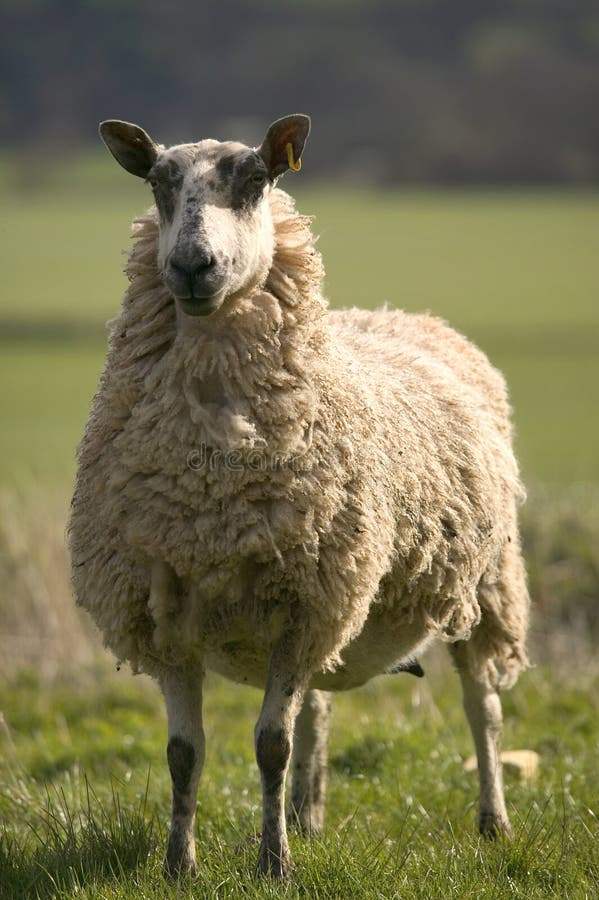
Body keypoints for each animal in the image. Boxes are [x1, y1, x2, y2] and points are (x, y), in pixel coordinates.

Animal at [69, 114, 530, 880]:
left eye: (256, 180)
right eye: (158, 183)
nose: (192, 266)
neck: (211, 486)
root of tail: (399, 313)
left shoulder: (300, 608)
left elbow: (269, 746)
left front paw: (272, 863)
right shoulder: (164, 613)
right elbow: (183, 754)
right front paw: (179, 865)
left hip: (484, 584)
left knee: (481, 707)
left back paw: (493, 821)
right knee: (318, 709)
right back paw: (309, 818)